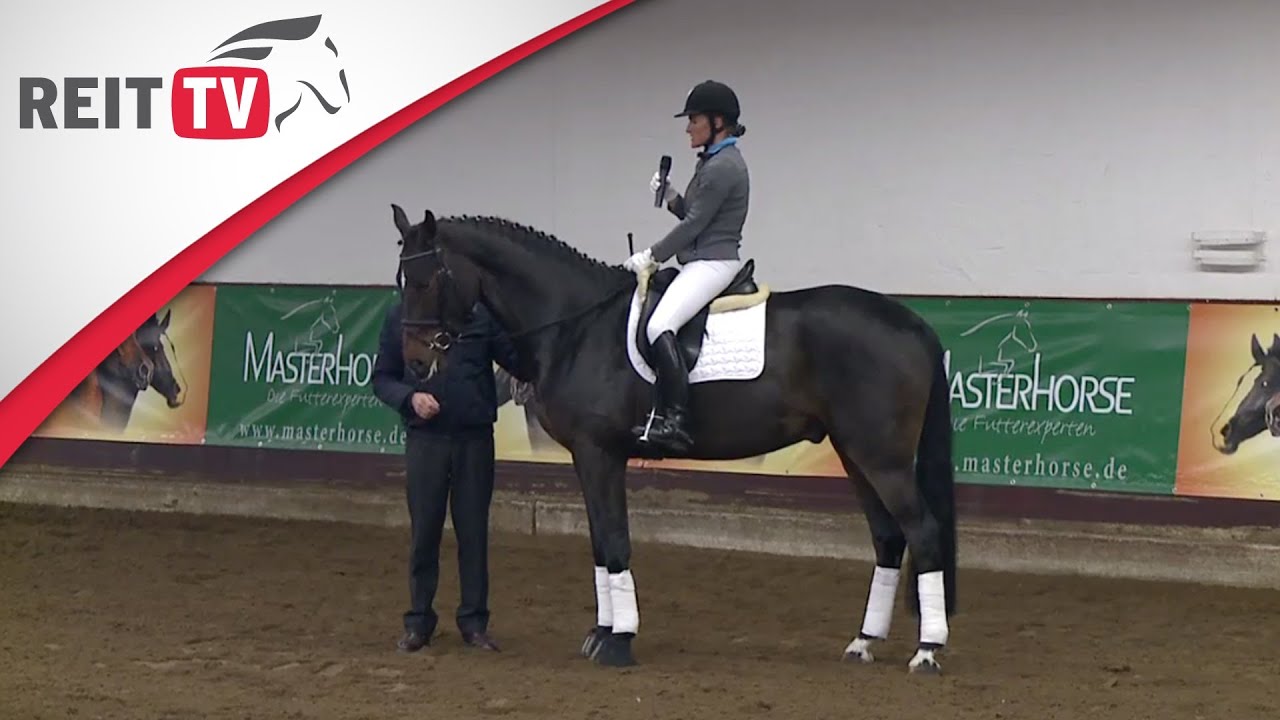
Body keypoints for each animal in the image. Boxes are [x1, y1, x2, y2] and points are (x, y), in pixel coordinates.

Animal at [389, 205, 958, 674]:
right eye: (400, 279)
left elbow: (615, 541)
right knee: (888, 537)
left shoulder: (600, 453)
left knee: (922, 531)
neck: (575, 325)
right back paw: (863, 643)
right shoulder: (589, 458)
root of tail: (913, 322)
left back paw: (927, 651)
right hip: (855, 453)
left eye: (428, 278)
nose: (414, 365)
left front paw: (619, 642)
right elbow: (600, 543)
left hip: (881, 457)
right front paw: (601, 633)